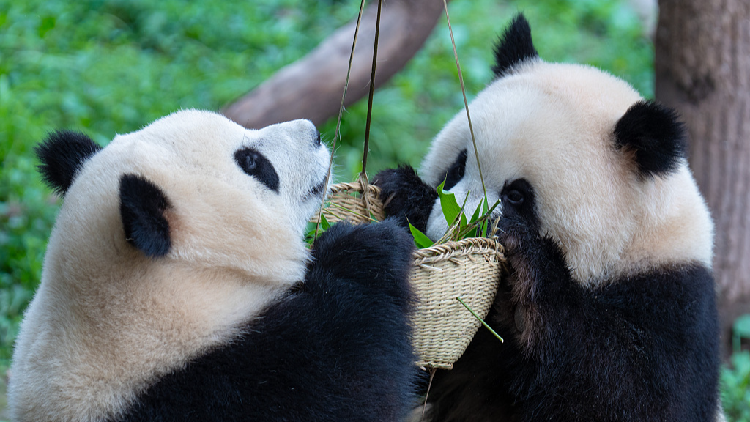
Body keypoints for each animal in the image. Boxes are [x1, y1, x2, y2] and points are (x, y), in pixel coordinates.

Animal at [9, 110, 418, 422]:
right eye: (253, 163)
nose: (314, 133)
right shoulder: (216, 392)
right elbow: (354, 382)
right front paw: (366, 248)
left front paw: (406, 193)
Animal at [374, 14, 723, 422]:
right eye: (456, 169)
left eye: (517, 195)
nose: (442, 232)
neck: (633, 245)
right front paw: (404, 196)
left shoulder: (675, 302)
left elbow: (631, 393)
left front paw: (523, 258)